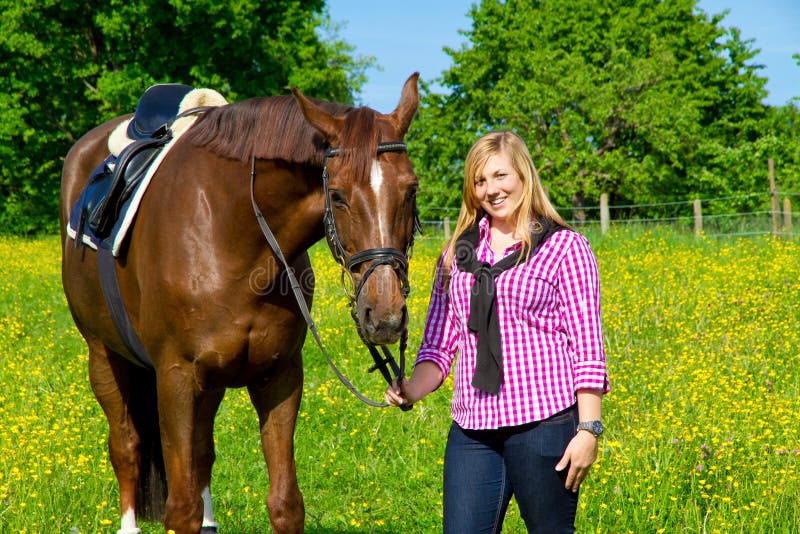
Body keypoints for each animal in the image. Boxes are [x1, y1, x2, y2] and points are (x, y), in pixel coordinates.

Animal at [59, 73, 420, 534]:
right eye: (337, 195)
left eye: (410, 190)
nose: (385, 316)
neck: (231, 234)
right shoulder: (175, 378)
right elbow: (181, 508)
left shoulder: (279, 376)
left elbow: (285, 504)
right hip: (104, 355)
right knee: (126, 447)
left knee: (201, 451)